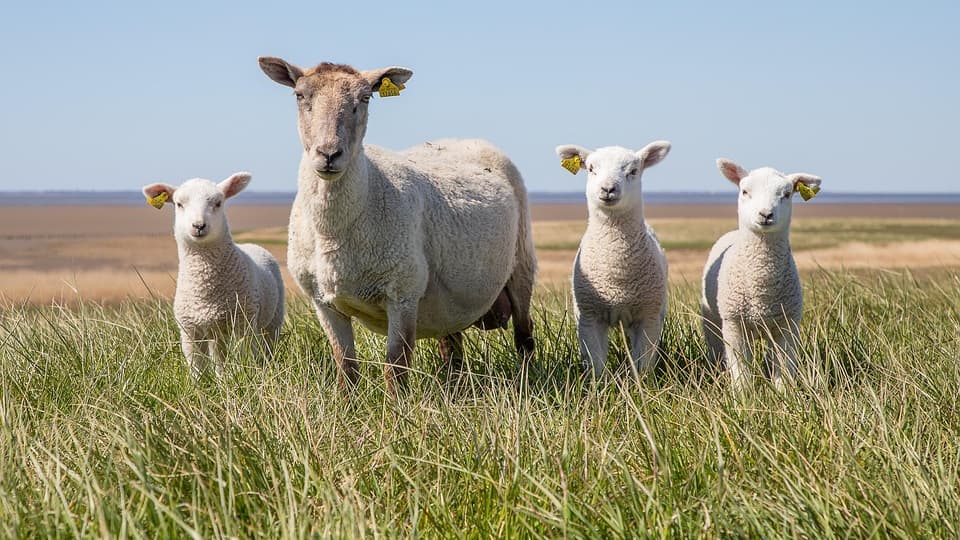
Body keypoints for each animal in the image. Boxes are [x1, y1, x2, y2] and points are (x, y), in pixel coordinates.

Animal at [142, 172, 285, 378]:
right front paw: (199, 384)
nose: (199, 225)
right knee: (219, 356)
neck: (205, 289)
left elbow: (242, 356)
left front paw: (241, 377)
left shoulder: (242, 323)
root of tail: (252, 244)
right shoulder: (189, 330)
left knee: (267, 346)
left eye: (218, 203)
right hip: (216, 330)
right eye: (179, 204)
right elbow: (196, 366)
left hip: (272, 319)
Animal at [257, 57, 536, 393]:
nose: (329, 154)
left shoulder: (402, 293)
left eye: (365, 98)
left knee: (524, 336)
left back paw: (526, 383)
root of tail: (463, 140)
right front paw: (346, 403)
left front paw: (397, 406)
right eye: (299, 95)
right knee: (452, 347)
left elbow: (396, 365)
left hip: (521, 264)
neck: (334, 231)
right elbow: (345, 366)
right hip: (449, 301)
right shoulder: (323, 301)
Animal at [555, 141, 672, 379]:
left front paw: (641, 384)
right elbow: (596, 364)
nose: (608, 189)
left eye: (633, 171)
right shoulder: (589, 317)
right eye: (591, 169)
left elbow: (643, 363)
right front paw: (599, 386)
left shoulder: (648, 316)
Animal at [700, 159, 822, 389]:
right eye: (745, 191)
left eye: (786, 194)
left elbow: (783, 368)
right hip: (712, 320)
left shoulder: (787, 325)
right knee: (716, 349)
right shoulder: (734, 325)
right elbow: (741, 371)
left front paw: (783, 394)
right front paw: (743, 395)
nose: (765, 214)